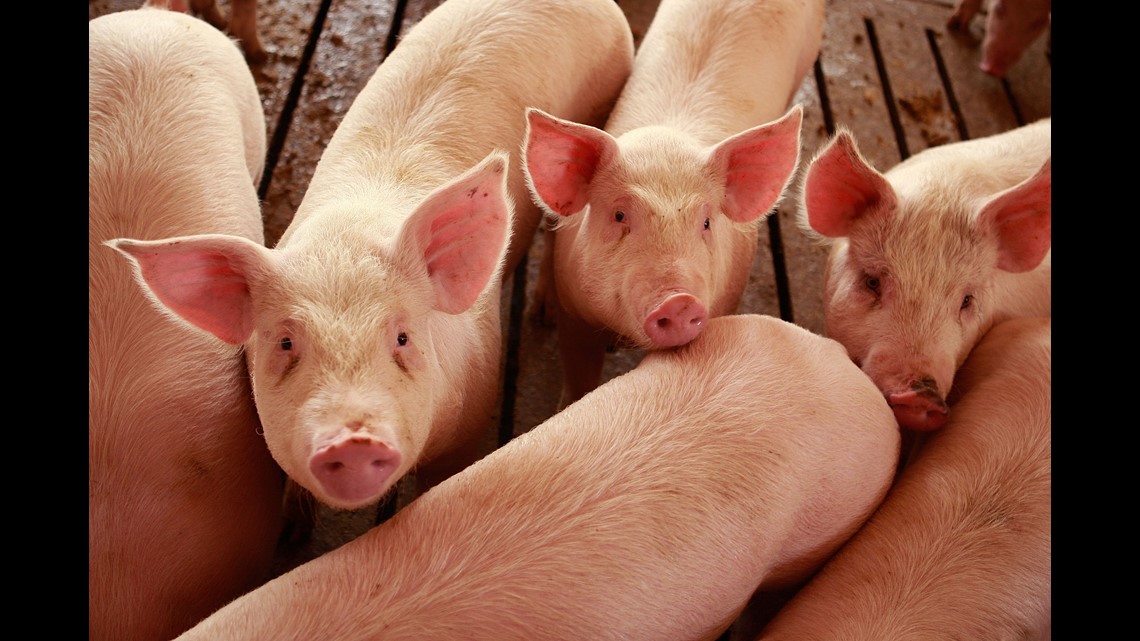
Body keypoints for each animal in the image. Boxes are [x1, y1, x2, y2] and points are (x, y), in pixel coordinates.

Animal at [523, 0, 824, 409]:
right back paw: (540, 315)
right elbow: (578, 376)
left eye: (707, 222)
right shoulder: (576, 313)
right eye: (619, 215)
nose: (678, 301)